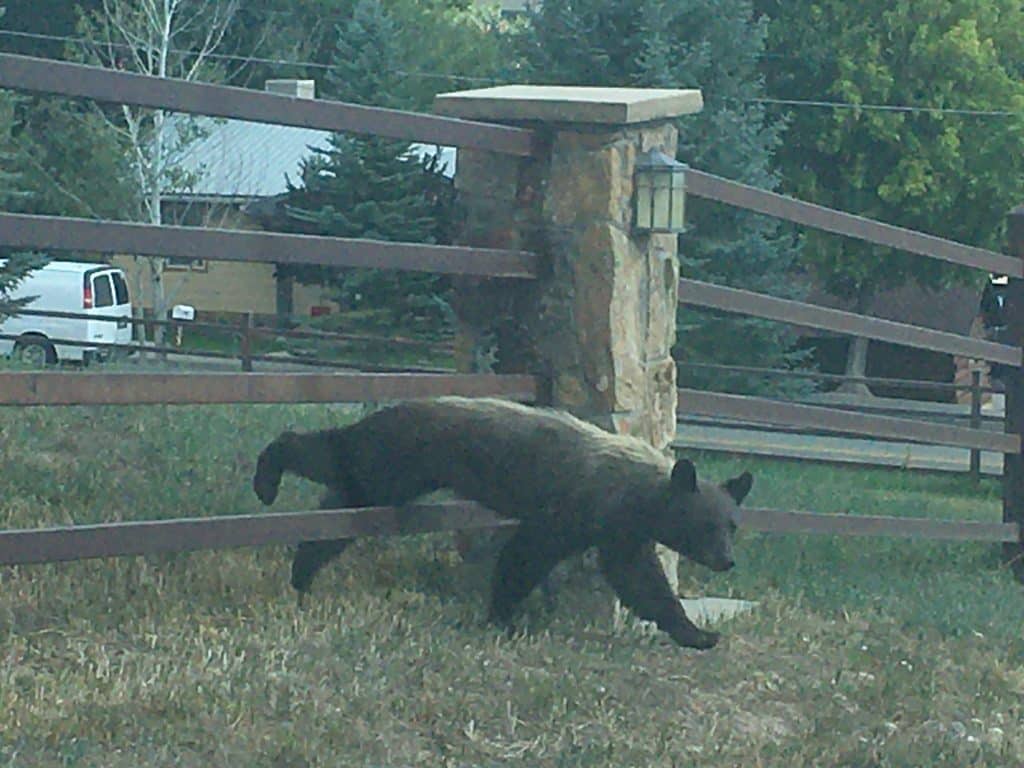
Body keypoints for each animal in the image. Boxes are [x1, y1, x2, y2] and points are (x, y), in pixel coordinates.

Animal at [253, 396, 752, 650]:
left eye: (732, 525)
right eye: (706, 524)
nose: (727, 561)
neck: (633, 493)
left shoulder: (620, 532)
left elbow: (640, 581)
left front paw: (698, 633)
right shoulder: (573, 507)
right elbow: (526, 553)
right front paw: (502, 615)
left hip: (393, 475)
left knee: (340, 506)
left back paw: (303, 571)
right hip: (398, 454)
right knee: (337, 457)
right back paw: (267, 474)